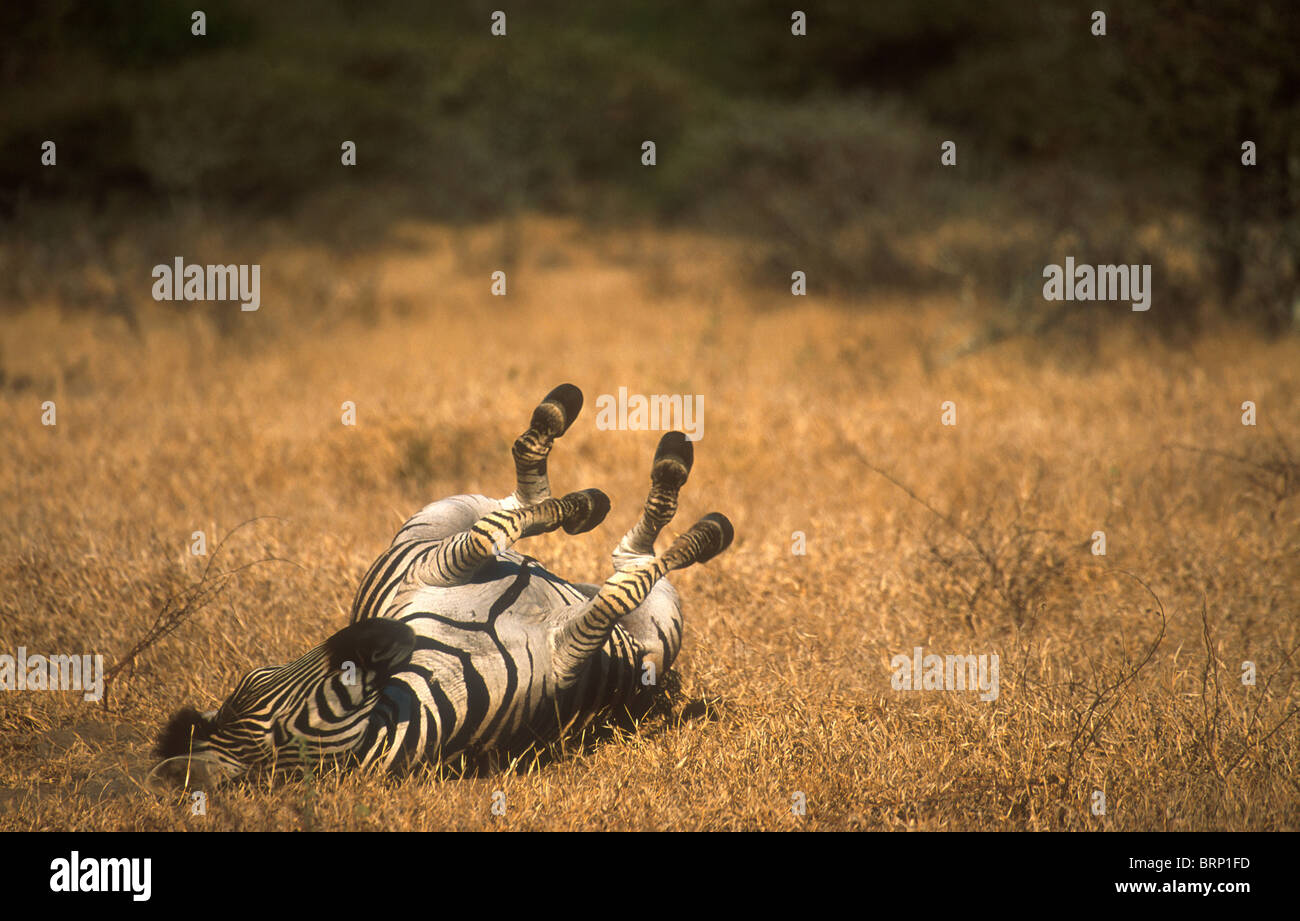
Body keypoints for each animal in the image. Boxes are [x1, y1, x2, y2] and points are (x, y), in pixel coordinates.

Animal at [154, 384, 733, 785]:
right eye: (266, 716)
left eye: (255, 678)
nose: (378, 631)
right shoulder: (564, 659)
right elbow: (618, 589)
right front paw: (686, 540)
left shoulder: (432, 578)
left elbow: (505, 536)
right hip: (649, 626)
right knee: (587, 546)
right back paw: (640, 502)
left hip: (444, 527)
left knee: (519, 508)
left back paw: (596, 466)